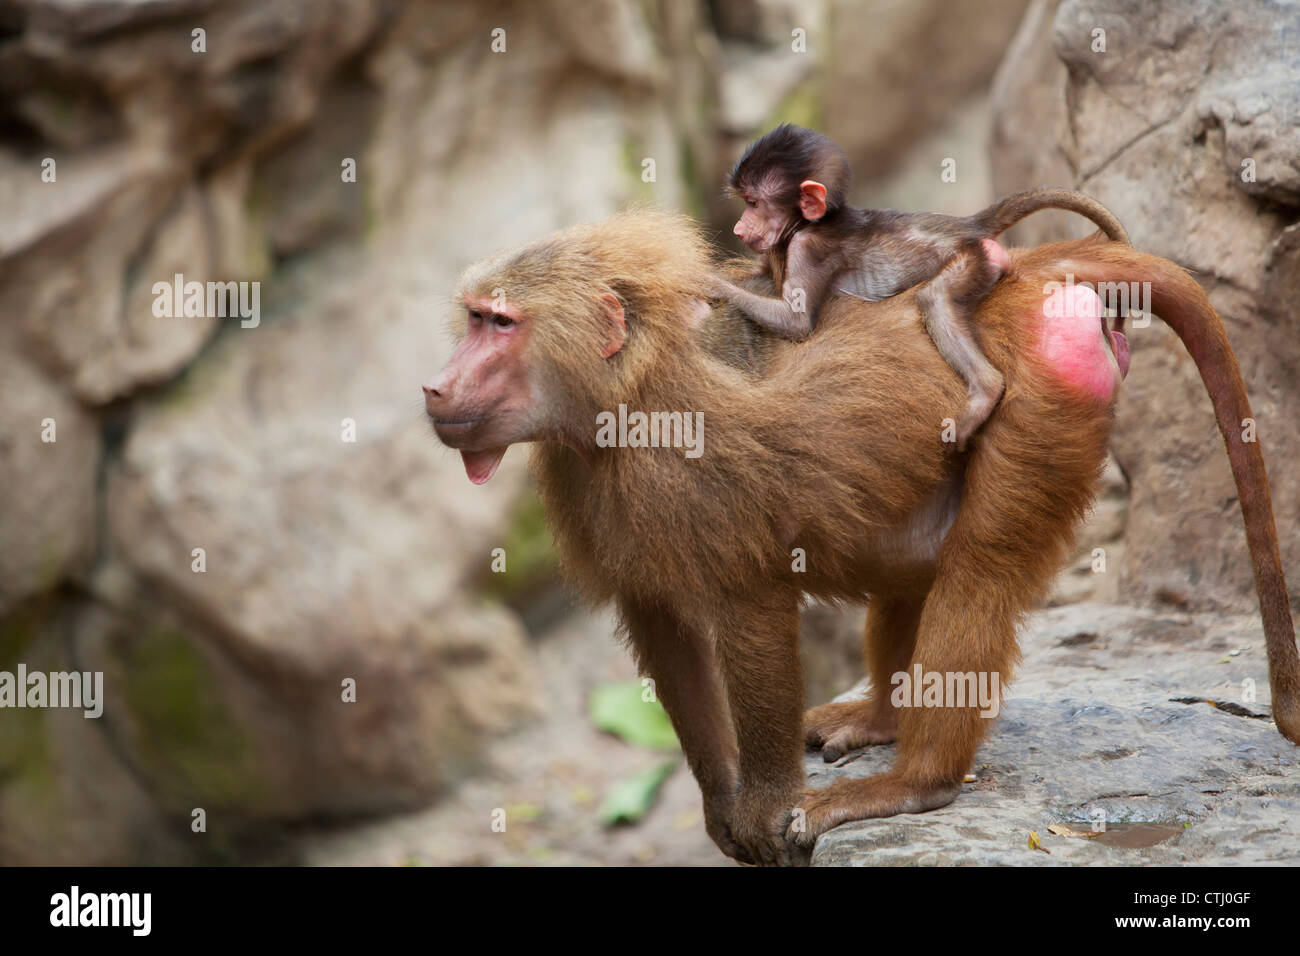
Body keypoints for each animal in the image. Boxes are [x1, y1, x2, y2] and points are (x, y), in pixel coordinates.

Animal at [424, 207, 1299, 866]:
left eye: (498, 324)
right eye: (475, 319)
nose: (434, 387)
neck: (629, 385)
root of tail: (1031, 269)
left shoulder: (681, 470)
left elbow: (751, 610)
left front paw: (765, 812)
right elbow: (663, 627)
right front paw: (722, 810)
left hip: (1040, 395)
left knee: (977, 576)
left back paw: (914, 784)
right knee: (913, 569)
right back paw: (880, 718)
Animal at [708, 123, 1131, 450]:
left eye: (754, 203)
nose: (739, 228)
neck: (813, 222)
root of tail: (963, 225)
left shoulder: (808, 248)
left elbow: (796, 323)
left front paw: (712, 284)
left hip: (973, 259)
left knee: (935, 298)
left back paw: (985, 389)